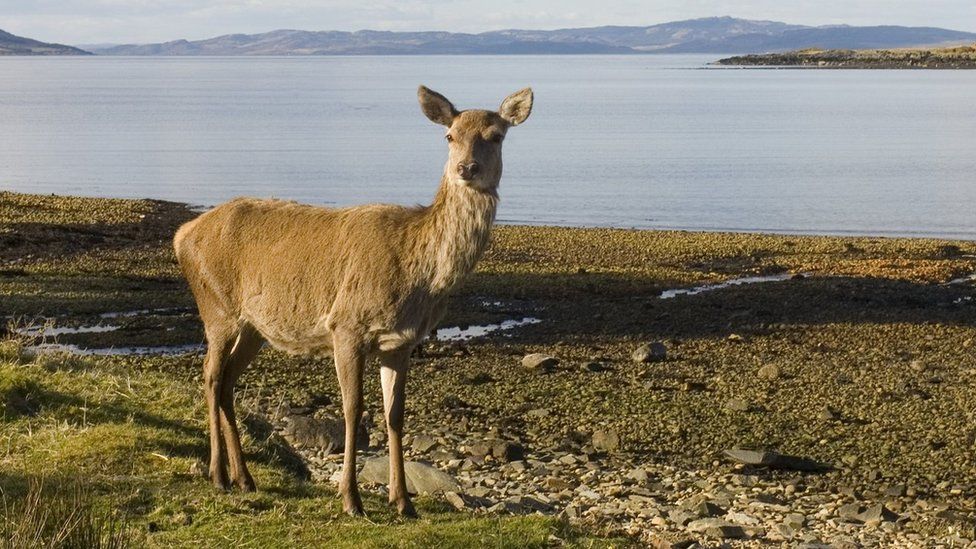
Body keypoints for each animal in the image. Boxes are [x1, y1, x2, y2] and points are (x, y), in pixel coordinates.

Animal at [173, 85, 533, 517]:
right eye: (450, 135)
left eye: (495, 136)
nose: (466, 168)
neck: (419, 275)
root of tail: (181, 235)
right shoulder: (346, 325)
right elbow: (352, 408)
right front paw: (352, 500)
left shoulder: (401, 341)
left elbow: (395, 415)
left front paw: (403, 502)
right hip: (217, 309)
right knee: (210, 376)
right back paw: (219, 475)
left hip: (254, 328)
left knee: (227, 381)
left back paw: (245, 478)